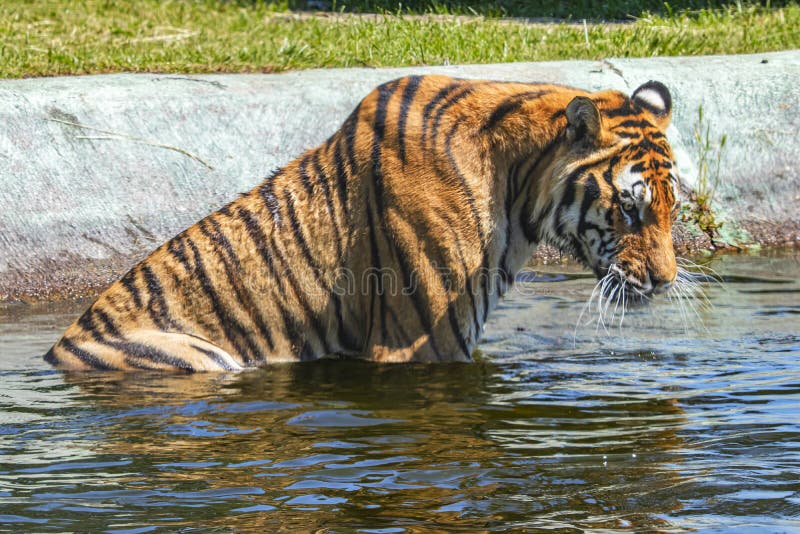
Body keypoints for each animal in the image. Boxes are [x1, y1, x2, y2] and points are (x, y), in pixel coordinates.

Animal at [45, 75, 680, 371]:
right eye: (630, 208)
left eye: (672, 208)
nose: (668, 281)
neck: (517, 187)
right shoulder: (420, 349)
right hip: (193, 354)